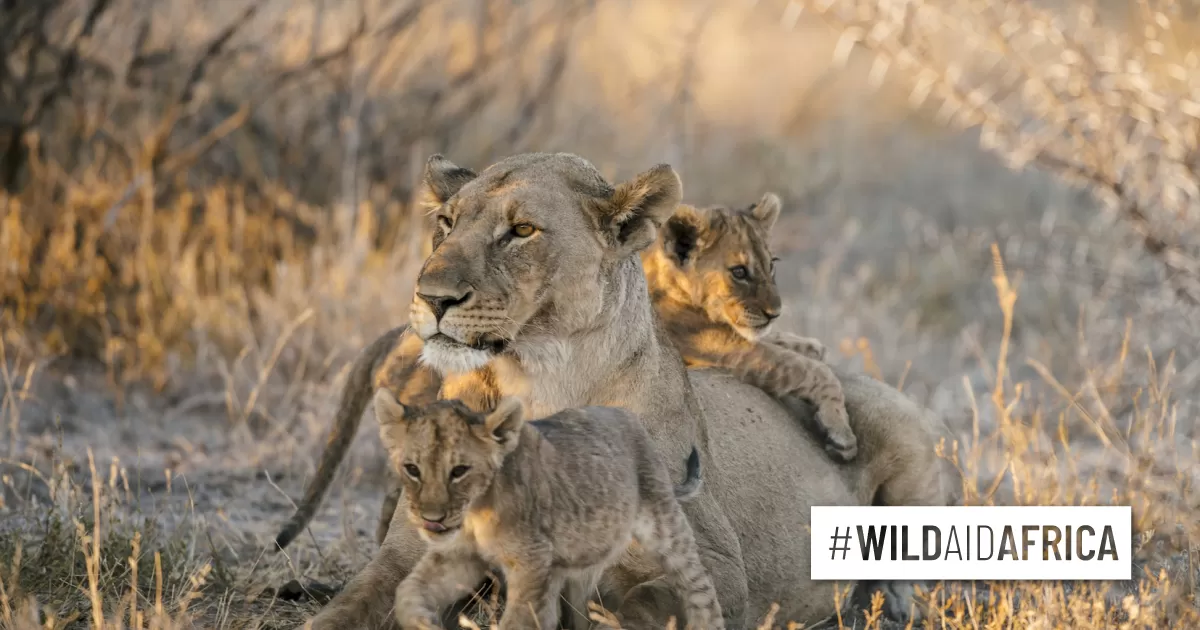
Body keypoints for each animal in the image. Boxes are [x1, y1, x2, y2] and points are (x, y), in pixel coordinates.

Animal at [374, 389, 723, 630]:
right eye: (412, 469)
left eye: (459, 470)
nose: (431, 519)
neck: (474, 513)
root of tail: (628, 416)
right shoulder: (460, 556)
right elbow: (407, 590)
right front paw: (423, 622)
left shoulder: (531, 562)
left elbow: (519, 621)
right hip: (579, 563)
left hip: (664, 524)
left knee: (700, 586)